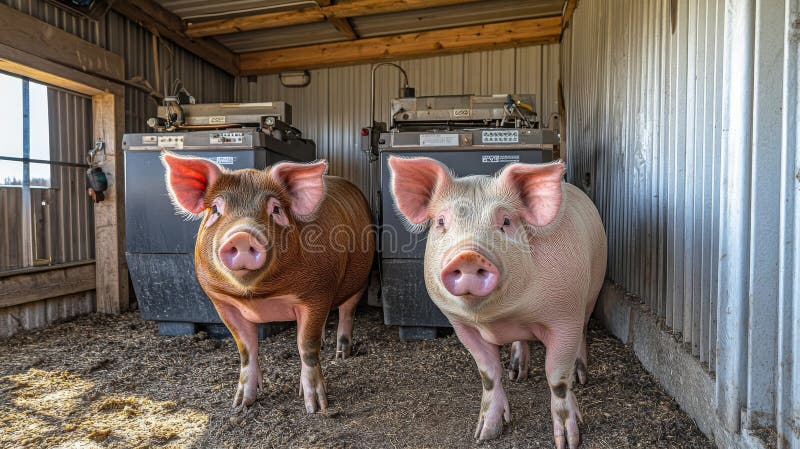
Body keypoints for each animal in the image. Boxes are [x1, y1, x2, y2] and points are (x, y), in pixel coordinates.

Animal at [161, 152, 374, 413]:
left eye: (275, 209)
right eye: (215, 209)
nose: (242, 236)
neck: (256, 297)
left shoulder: (318, 293)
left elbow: (306, 345)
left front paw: (315, 407)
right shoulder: (222, 302)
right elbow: (246, 349)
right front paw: (240, 405)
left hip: (360, 280)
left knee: (346, 314)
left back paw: (341, 354)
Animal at [387, 156, 606, 448]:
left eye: (505, 221)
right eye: (442, 222)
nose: (468, 256)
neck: (498, 318)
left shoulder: (565, 316)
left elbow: (557, 379)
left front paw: (568, 441)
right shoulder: (461, 325)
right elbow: (489, 374)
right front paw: (484, 434)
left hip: (593, 290)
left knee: (583, 329)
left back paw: (581, 376)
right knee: (521, 342)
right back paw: (518, 373)